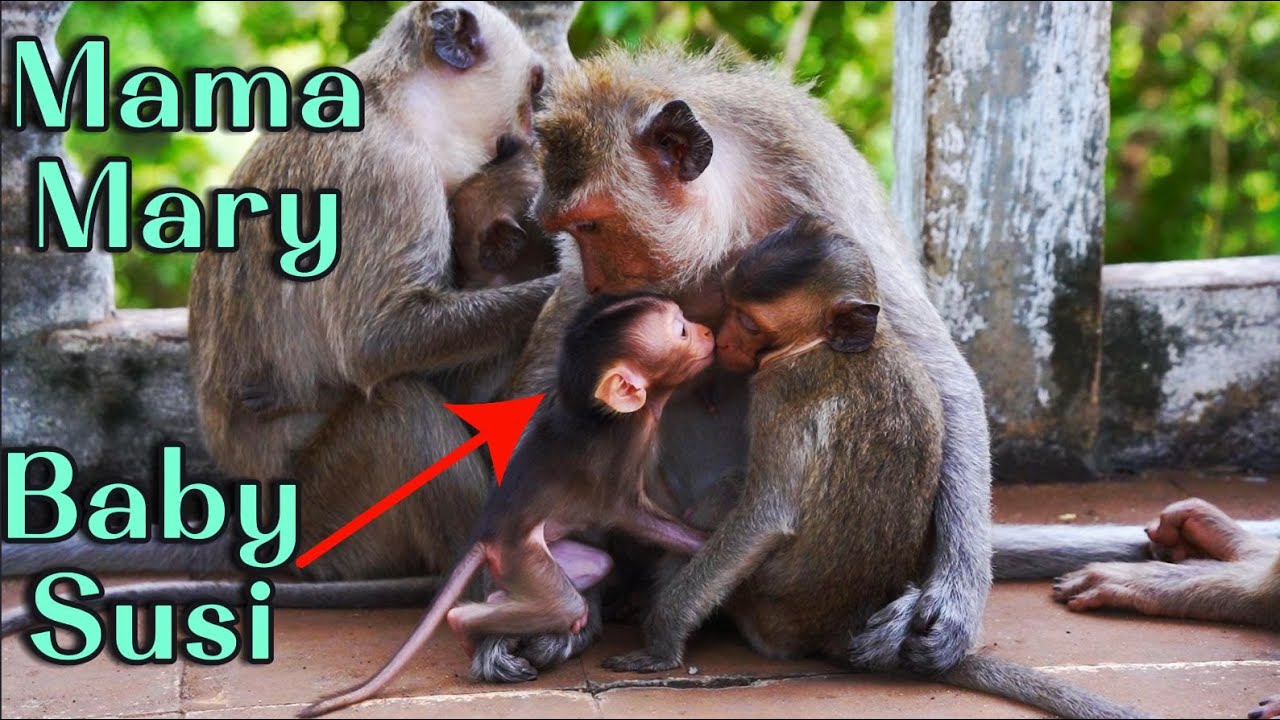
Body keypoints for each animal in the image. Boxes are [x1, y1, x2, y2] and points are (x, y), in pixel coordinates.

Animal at [3, 1, 558, 597]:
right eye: (534, 88)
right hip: (331, 520)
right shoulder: (393, 177)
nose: (531, 131)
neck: (398, 106)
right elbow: (378, 344)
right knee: (402, 411)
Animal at [298, 292, 715, 718]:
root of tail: (487, 534)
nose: (707, 330)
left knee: (590, 566)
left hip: (528, 561)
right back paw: (468, 627)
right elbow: (628, 515)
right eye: (681, 331)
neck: (600, 412)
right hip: (522, 555)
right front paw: (705, 540)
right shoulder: (622, 450)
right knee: (559, 604)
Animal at [477, 43, 993, 681]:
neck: (729, 223)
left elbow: (941, 373)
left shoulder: (821, 194)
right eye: (567, 231)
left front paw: (951, 602)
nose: (597, 280)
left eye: (593, 225)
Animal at [601, 216, 1145, 720]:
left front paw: (661, 637)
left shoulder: (779, 387)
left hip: (767, 612)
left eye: (748, 321)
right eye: (729, 305)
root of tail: (837, 623)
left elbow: (766, 517)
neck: (830, 344)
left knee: (727, 498)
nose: (722, 337)